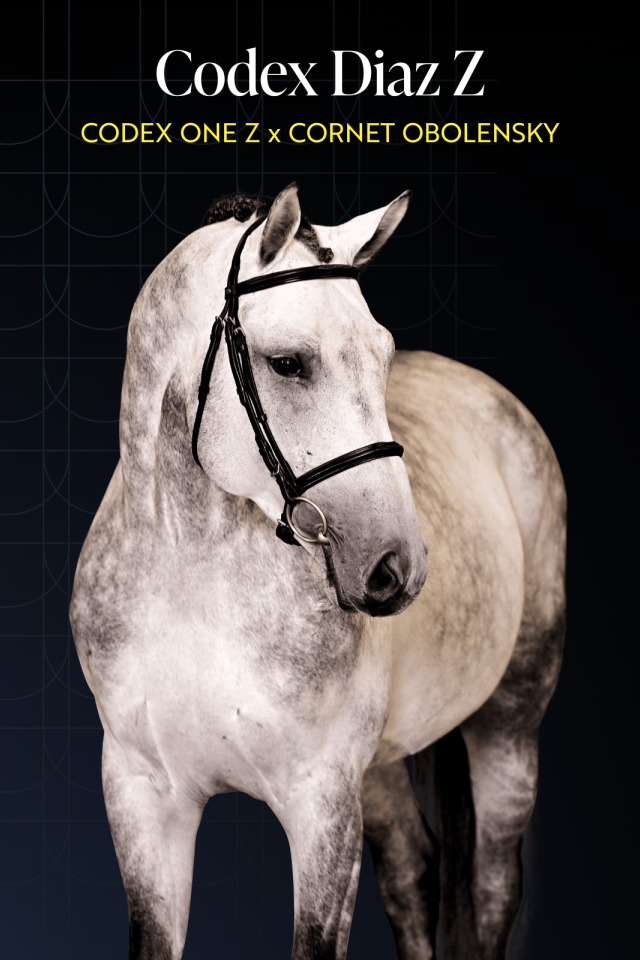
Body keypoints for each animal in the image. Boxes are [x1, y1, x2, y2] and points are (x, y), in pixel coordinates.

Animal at [69, 183, 566, 960]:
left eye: (382, 355)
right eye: (288, 363)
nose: (397, 565)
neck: (194, 583)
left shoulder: (321, 805)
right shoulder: (142, 796)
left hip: (508, 725)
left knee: (490, 889)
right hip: (384, 769)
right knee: (414, 875)